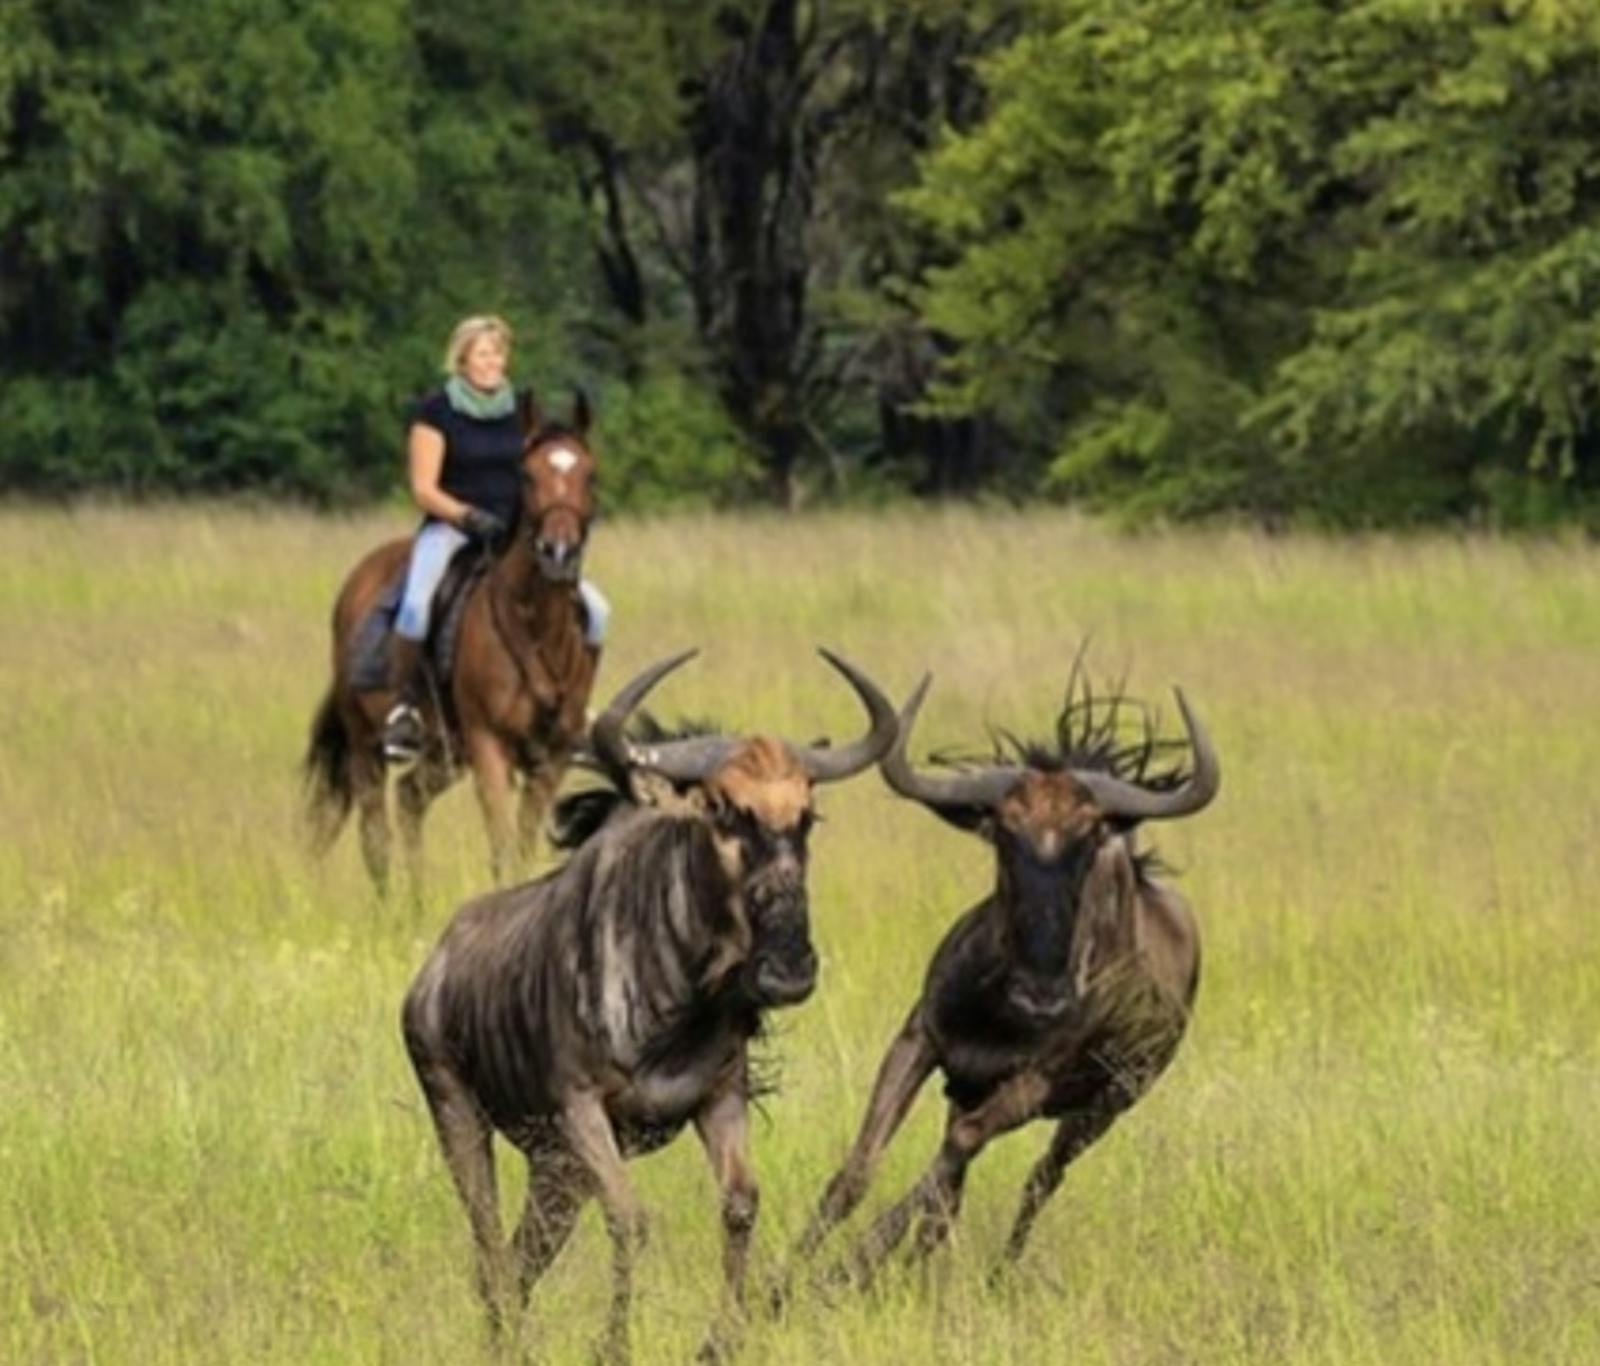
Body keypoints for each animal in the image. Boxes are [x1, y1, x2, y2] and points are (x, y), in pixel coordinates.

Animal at [303, 389, 599, 898]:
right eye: (527, 474)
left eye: (589, 472)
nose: (557, 553)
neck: (537, 627)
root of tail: (359, 580)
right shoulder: (488, 746)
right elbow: (503, 849)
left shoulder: (552, 759)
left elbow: (523, 849)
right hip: (367, 743)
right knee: (375, 834)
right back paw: (390, 910)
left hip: (444, 753)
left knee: (409, 801)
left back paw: (417, 904)